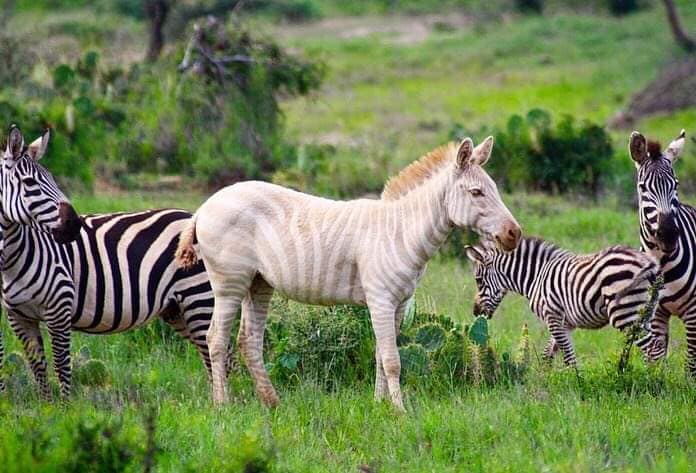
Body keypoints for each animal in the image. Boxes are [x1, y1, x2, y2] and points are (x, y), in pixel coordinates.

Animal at [0, 125, 219, 398]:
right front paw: (46, 404)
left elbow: (61, 365)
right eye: (30, 182)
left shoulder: (59, 305)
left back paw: (224, 404)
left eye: (52, 179)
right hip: (176, 309)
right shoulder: (18, 317)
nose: (74, 225)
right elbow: (38, 368)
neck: (13, 259)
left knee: (219, 352)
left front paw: (64, 407)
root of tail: (194, 216)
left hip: (197, 296)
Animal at [176, 136, 522, 411]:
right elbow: (393, 360)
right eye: (476, 192)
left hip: (258, 283)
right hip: (229, 282)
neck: (401, 232)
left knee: (248, 340)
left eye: (494, 189)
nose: (515, 234)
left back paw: (272, 402)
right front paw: (401, 412)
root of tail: (206, 205)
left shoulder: (400, 303)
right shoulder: (381, 299)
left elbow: (382, 357)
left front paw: (380, 405)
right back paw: (223, 406)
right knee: (216, 338)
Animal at [466, 237, 660, 366]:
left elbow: (568, 358)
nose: (476, 312)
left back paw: (653, 381)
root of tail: (648, 262)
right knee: (656, 346)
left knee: (653, 349)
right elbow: (548, 354)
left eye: (478, 281)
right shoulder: (564, 322)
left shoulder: (552, 315)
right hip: (646, 312)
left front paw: (578, 385)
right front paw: (545, 380)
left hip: (625, 314)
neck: (536, 276)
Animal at [628, 130, 696, 375]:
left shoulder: (694, 312)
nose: (668, 235)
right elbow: (655, 358)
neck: (662, 263)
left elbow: (691, 364)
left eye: (676, 185)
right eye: (643, 188)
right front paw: (656, 381)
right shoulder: (656, 314)